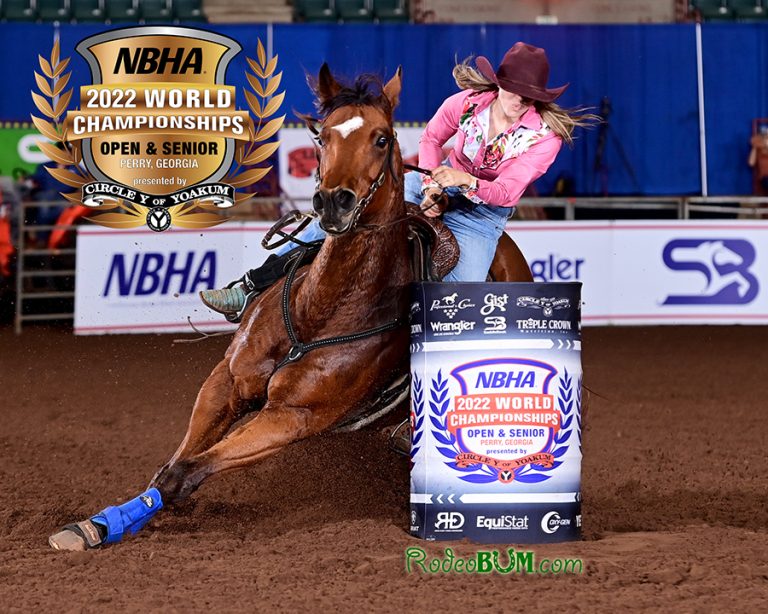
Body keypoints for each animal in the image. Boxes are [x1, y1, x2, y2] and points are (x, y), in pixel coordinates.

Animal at [50, 64, 533, 550]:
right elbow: (171, 466)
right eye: (322, 136)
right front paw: (94, 524)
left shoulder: (291, 418)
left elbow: (182, 474)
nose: (334, 201)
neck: (318, 311)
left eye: (382, 138)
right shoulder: (227, 382)